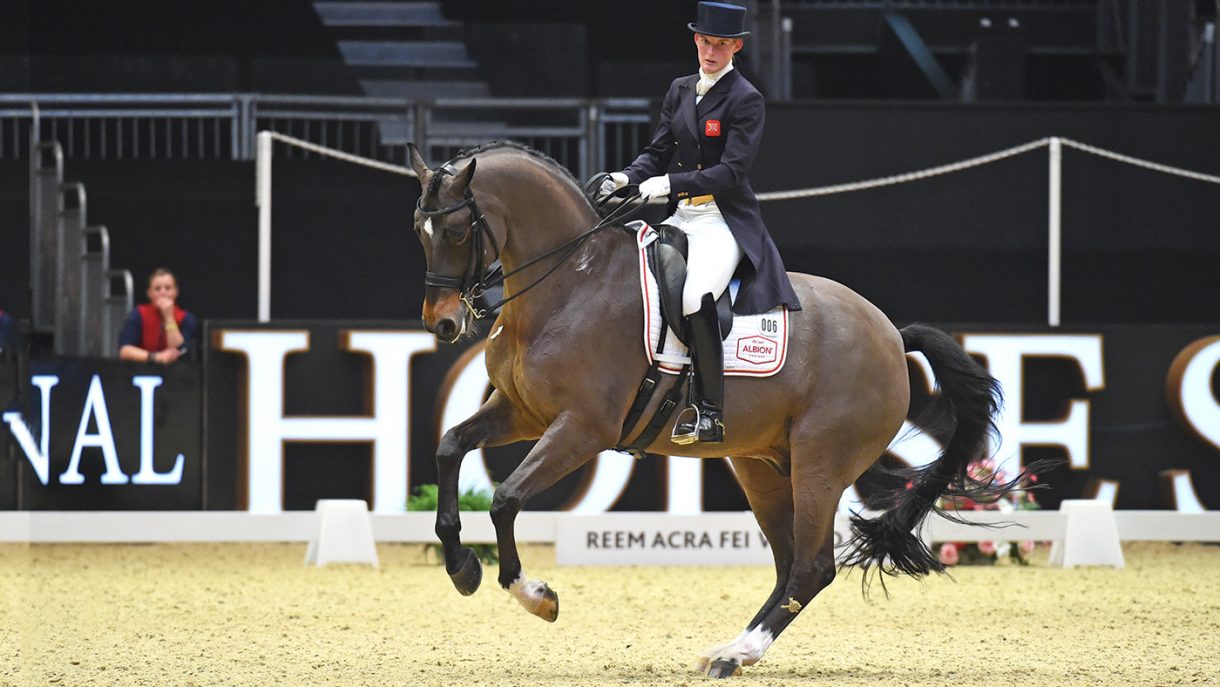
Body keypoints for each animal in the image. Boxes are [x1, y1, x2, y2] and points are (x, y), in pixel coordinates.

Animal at [406, 141, 1009, 678]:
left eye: (457, 232)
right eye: (419, 231)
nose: (443, 323)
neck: (572, 282)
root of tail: (890, 333)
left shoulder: (581, 428)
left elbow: (506, 499)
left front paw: (535, 594)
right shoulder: (521, 411)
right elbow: (450, 447)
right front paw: (461, 567)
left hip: (821, 464)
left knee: (812, 566)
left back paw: (736, 653)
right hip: (763, 466)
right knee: (789, 562)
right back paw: (733, 652)